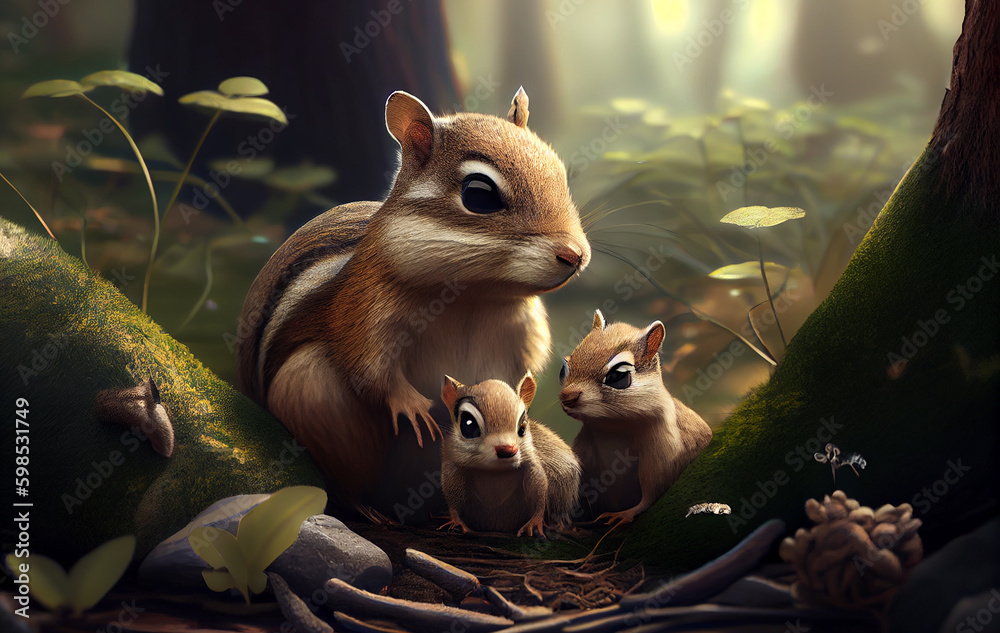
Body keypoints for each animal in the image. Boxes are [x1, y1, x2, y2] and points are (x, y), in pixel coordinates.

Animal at [235, 88, 590, 514]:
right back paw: (367, 508)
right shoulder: (365, 308)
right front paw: (412, 405)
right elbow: (369, 367)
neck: (474, 295)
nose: (575, 255)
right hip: (313, 390)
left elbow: (508, 386)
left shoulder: (518, 338)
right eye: (479, 195)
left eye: (559, 172)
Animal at [439, 373, 581, 535]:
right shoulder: (452, 462)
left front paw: (535, 522)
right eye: (468, 425)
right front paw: (457, 521)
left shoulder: (531, 463)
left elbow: (539, 491)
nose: (507, 450)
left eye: (523, 427)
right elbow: (452, 495)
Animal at [558, 309, 712, 525]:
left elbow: (653, 488)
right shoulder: (584, 455)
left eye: (618, 376)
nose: (567, 397)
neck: (611, 429)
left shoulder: (662, 450)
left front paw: (625, 513)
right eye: (564, 368)